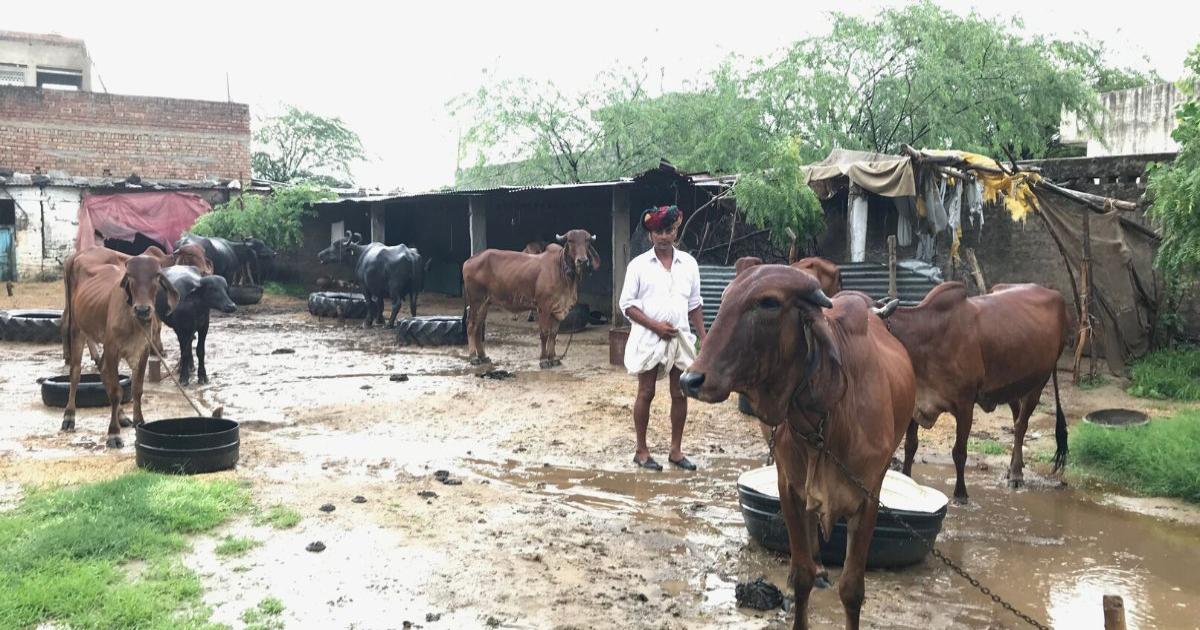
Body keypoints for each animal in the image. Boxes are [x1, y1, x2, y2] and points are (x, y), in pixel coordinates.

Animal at [62, 254, 179, 448]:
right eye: (130, 275)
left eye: (156, 275)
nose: (142, 309)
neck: (135, 322)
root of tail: (77, 256)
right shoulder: (112, 349)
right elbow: (117, 392)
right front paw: (113, 433)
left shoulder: (143, 350)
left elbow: (136, 389)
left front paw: (139, 422)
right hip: (77, 329)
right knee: (76, 373)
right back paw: (69, 416)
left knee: (102, 371)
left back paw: (122, 416)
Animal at [463, 229, 600, 368]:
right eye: (570, 241)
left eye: (587, 241)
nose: (582, 260)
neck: (561, 271)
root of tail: (470, 260)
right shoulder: (544, 307)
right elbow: (545, 333)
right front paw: (544, 359)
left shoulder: (557, 308)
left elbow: (553, 334)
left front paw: (553, 358)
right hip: (475, 300)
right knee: (471, 325)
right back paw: (473, 357)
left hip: (485, 303)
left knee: (479, 326)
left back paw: (483, 356)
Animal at [679, 264, 915, 630]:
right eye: (727, 295)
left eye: (769, 302)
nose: (690, 380)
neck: (825, 423)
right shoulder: (788, 487)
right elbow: (801, 575)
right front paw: (808, 576)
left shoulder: (869, 496)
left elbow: (852, 590)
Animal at [876, 281, 1070, 502]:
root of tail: (1056, 295)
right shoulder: (917, 404)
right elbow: (911, 446)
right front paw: (907, 478)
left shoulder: (964, 405)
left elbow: (959, 452)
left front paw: (961, 493)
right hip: (1011, 385)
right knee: (1016, 418)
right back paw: (1015, 466)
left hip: (1038, 381)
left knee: (1021, 425)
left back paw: (1016, 474)